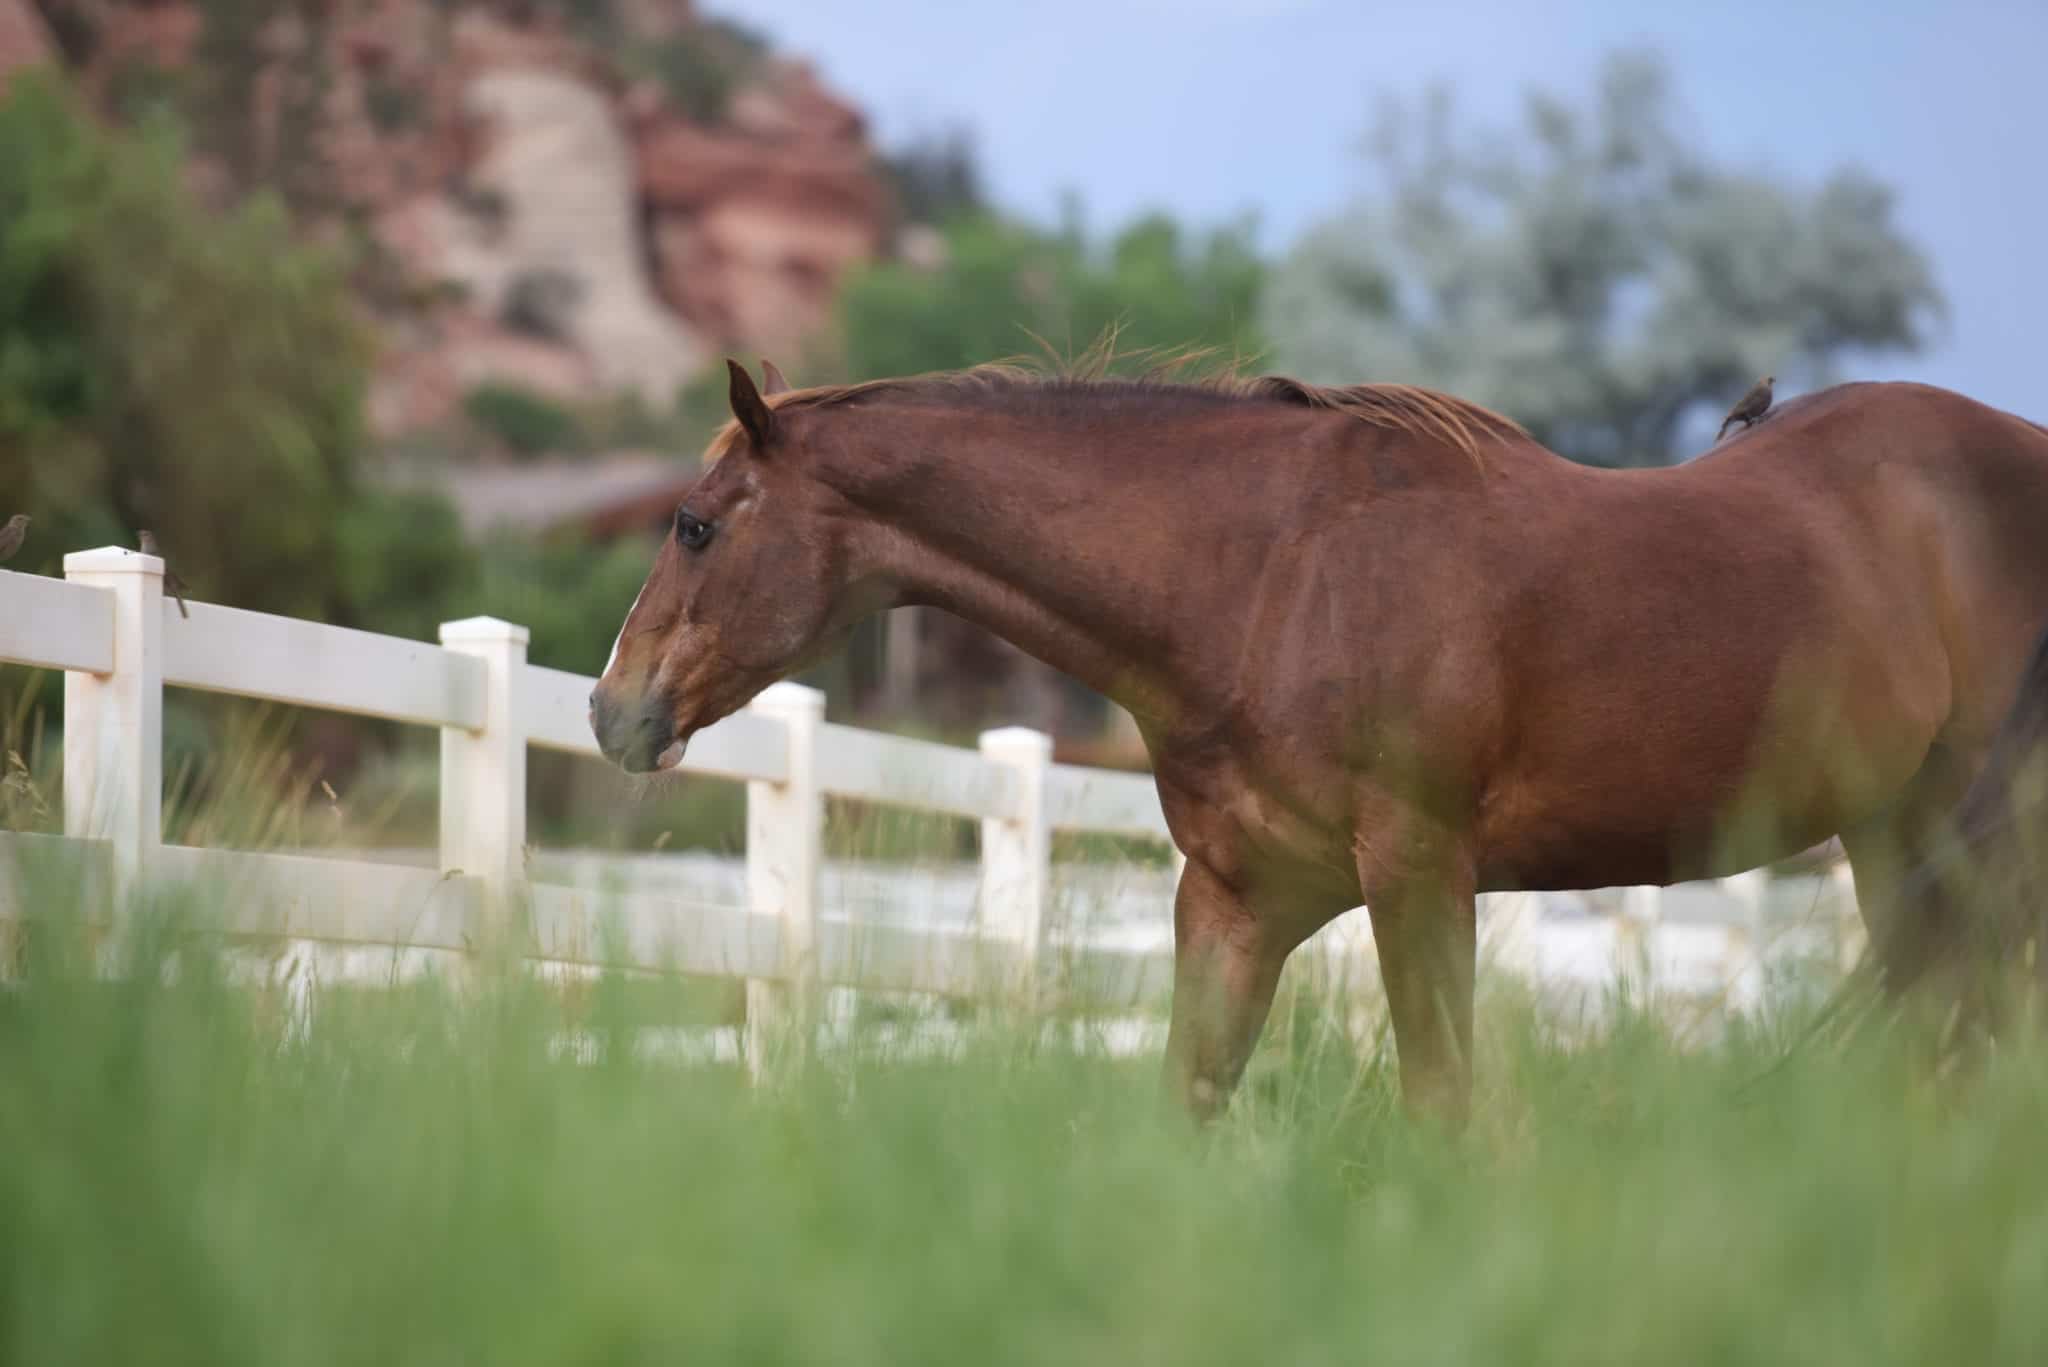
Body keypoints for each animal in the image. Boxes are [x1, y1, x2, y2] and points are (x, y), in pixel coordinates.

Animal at [589, 359, 2048, 1126]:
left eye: (698, 524)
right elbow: (1186, 1098)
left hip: (1979, 838)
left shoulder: (1418, 876)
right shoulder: (1240, 899)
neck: (1268, 575)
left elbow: (1445, 1103)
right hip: (1895, 836)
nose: (614, 708)